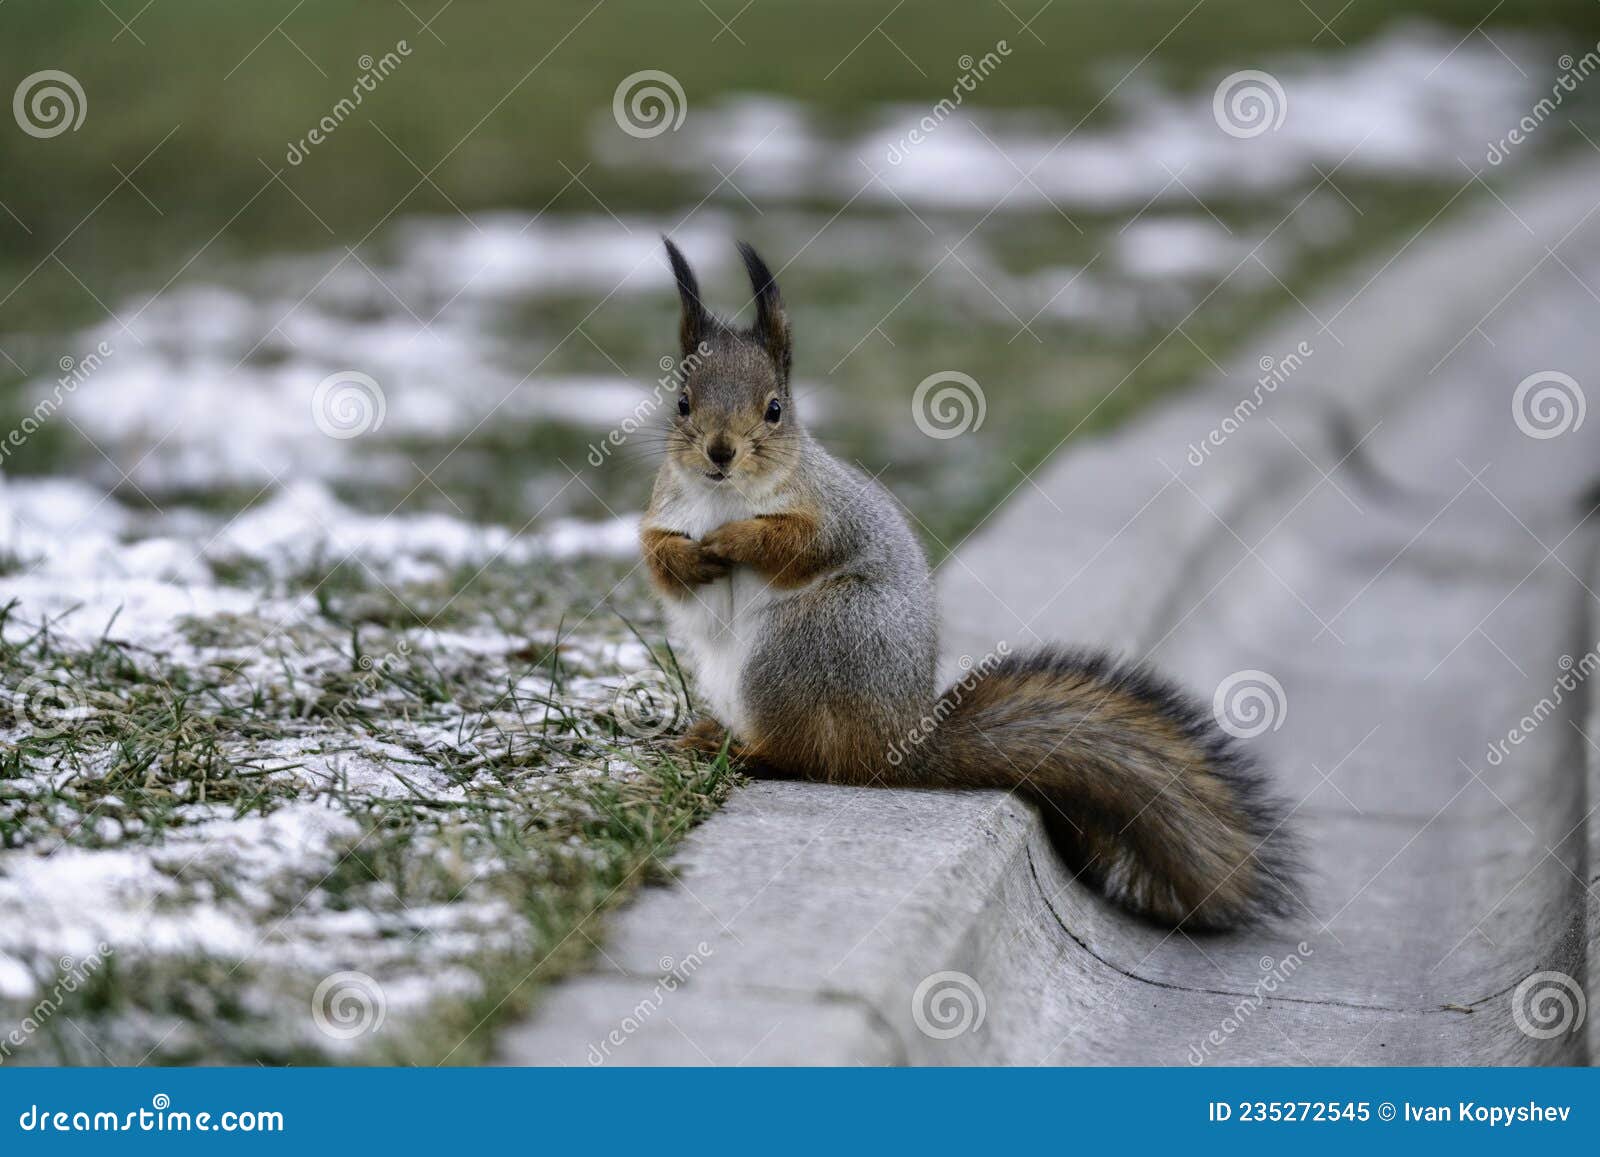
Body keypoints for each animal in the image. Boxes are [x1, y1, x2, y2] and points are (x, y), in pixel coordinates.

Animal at [639, 239, 1300, 931]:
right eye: (681, 402)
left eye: (774, 409)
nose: (720, 452)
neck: (724, 497)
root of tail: (897, 744)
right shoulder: (661, 512)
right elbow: (657, 558)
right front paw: (690, 557)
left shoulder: (830, 516)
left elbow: (797, 545)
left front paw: (734, 542)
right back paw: (712, 736)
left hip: (807, 645)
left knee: (809, 760)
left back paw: (743, 752)